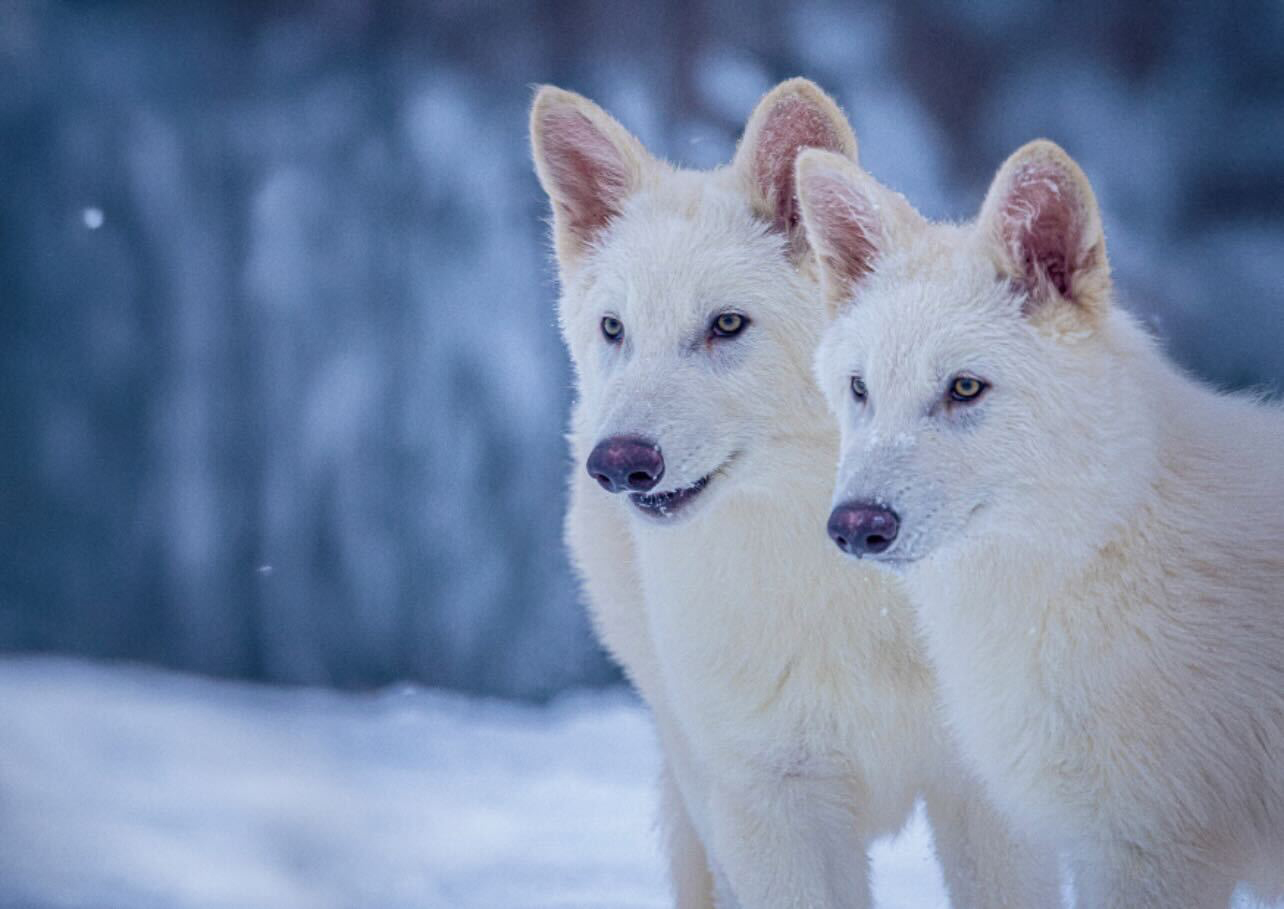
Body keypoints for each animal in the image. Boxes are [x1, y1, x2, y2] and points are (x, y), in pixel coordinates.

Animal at [530, 79, 1057, 908]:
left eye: (726, 324)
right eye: (615, 328)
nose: (618, 463)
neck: (850, 593)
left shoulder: (987, 797)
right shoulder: (771, 806)